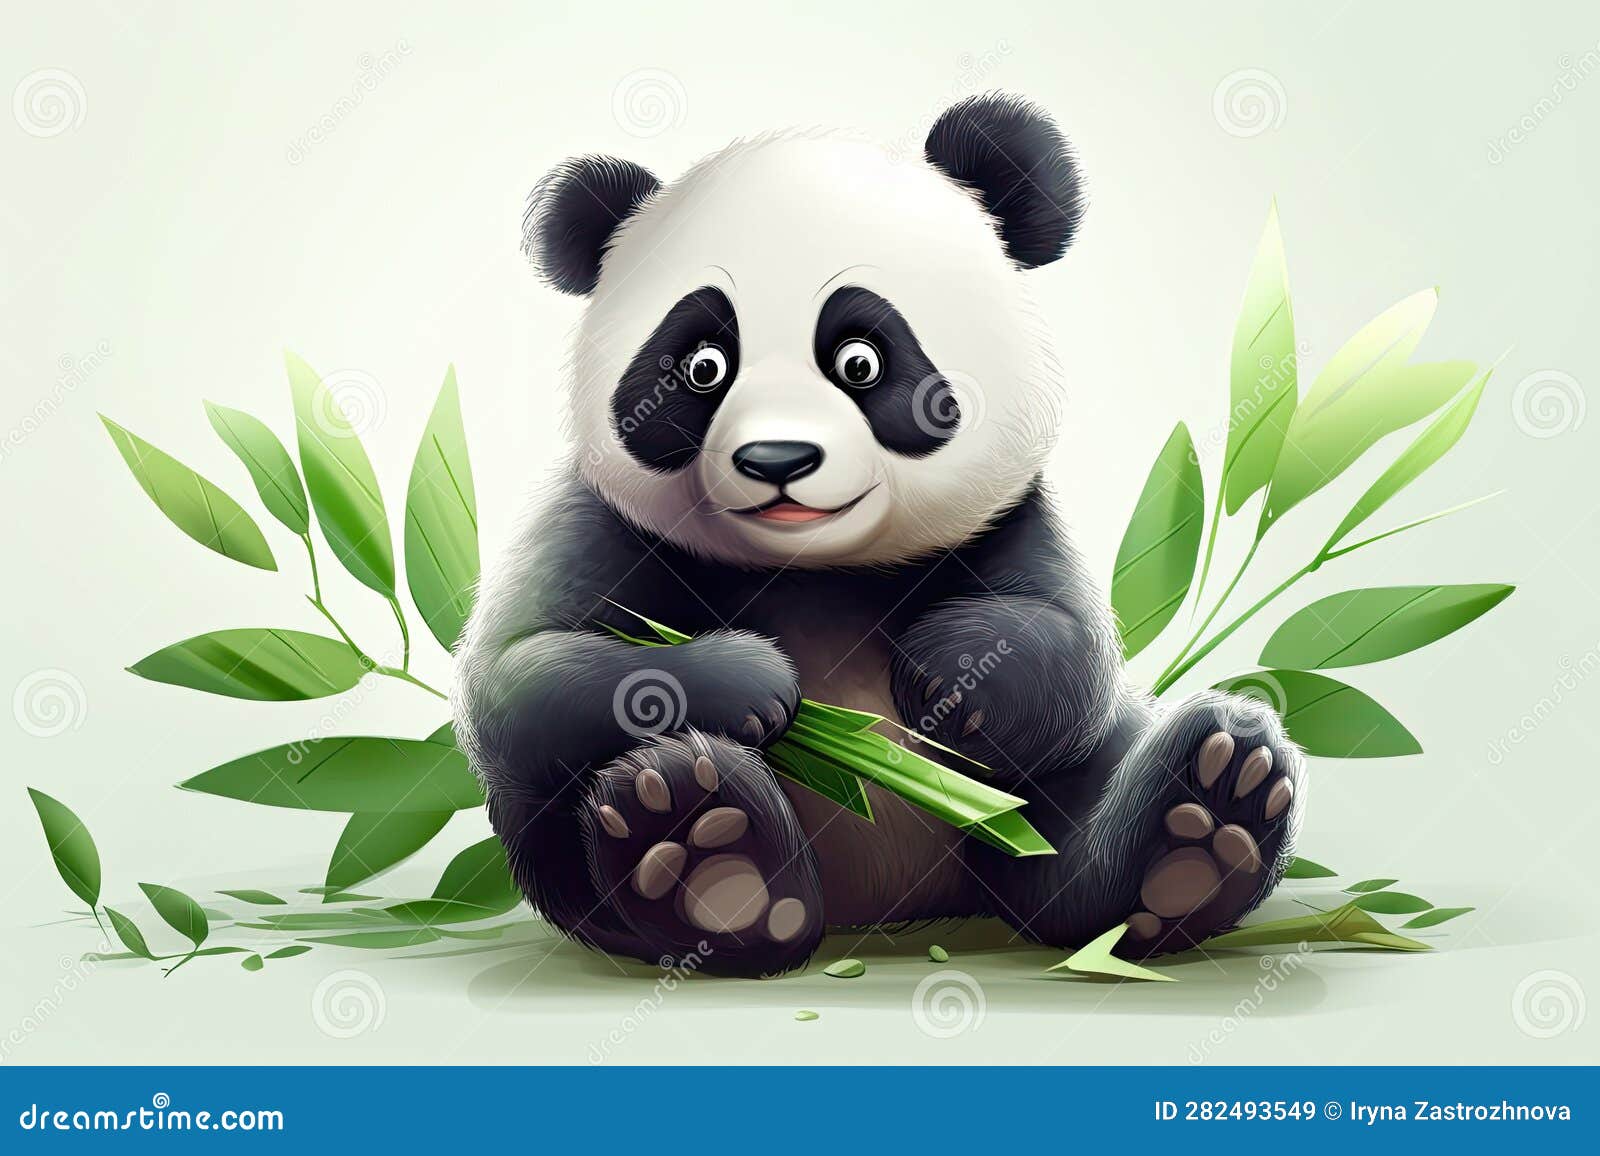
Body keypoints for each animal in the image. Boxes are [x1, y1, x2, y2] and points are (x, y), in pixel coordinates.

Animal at [454, 93, 1303, 978]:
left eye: (860, 360)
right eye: (701, 366)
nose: (778, 459)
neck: (815, 568)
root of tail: (880, 910)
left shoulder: (1013, 517)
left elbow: (1073, 651)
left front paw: (950, 677)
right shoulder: (600, 518)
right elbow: (526, 676)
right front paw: (750, 681)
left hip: (1042, 810)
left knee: (1067, 854)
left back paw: (1206, 819)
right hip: (559, 857)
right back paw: (706, 853)